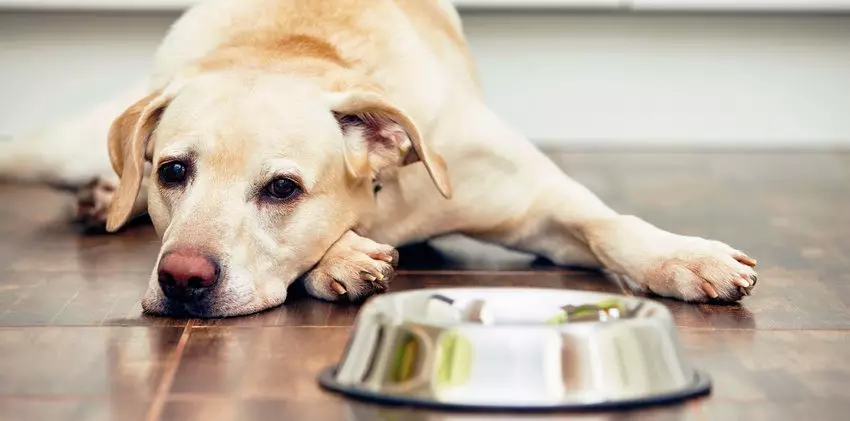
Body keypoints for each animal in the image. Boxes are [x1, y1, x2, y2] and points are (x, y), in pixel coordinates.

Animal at [0, 0, 756, 316]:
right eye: (173, 172)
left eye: (282, 188)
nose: (183, 278)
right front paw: (342, 255)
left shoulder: (538, 202)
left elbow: (609, 224)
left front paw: (685, 257)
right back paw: (106, 196)